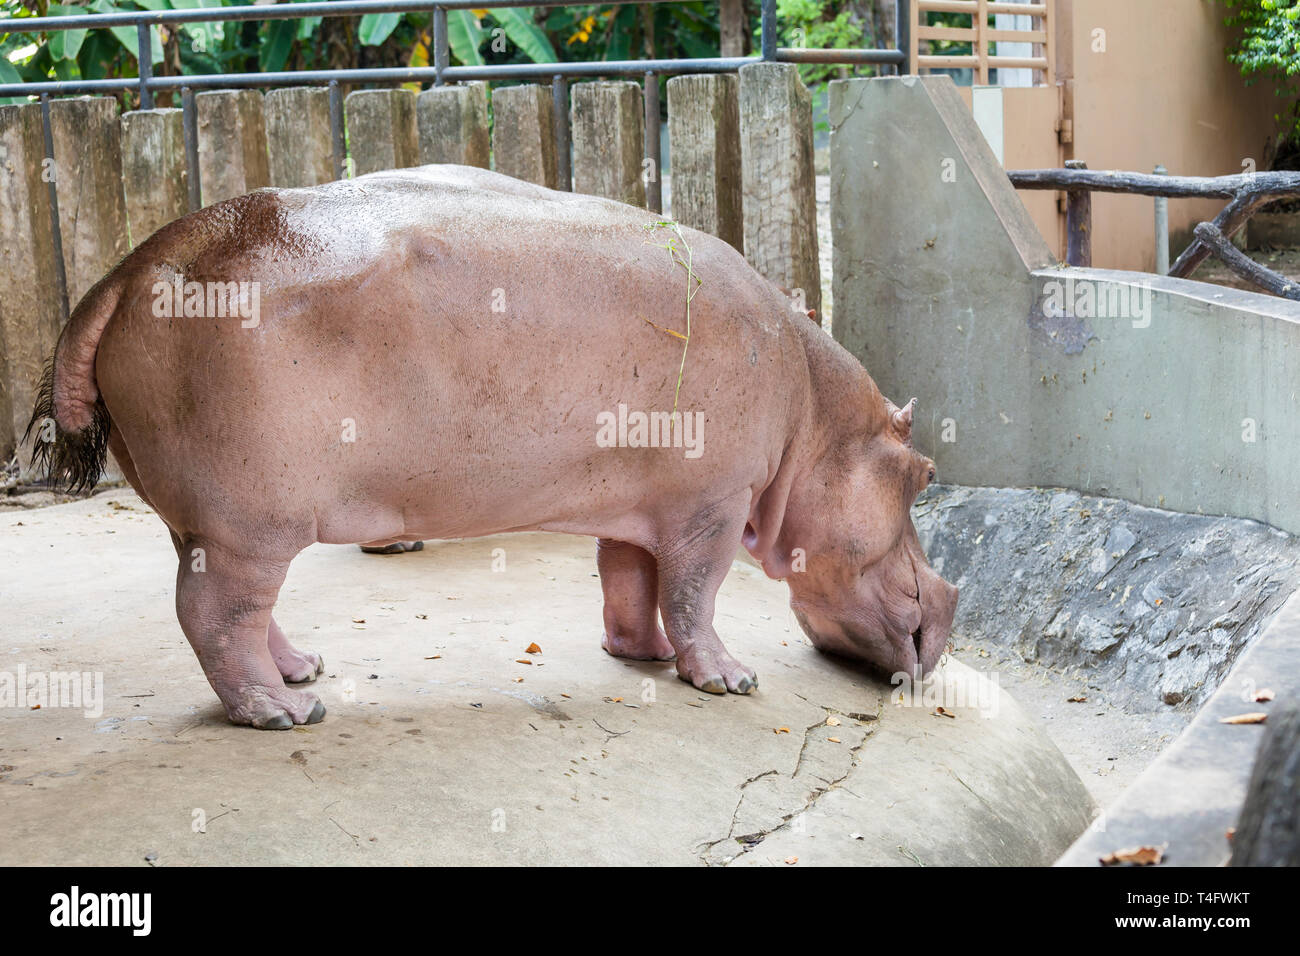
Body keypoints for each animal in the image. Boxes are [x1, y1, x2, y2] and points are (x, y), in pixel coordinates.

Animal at [26, 164, 958, 729]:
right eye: (925, 474)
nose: (949, 598)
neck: (817, 419)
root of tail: (128, 269)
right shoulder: (713, 507)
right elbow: (697, 593)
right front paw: (729, 679)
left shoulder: (642, 501)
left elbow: (630, 579)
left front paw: (645, 657)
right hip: (249, 524)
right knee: (213, 614)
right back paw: (282, 713)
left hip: (213, 523)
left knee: (239, 608)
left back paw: (301, 672)